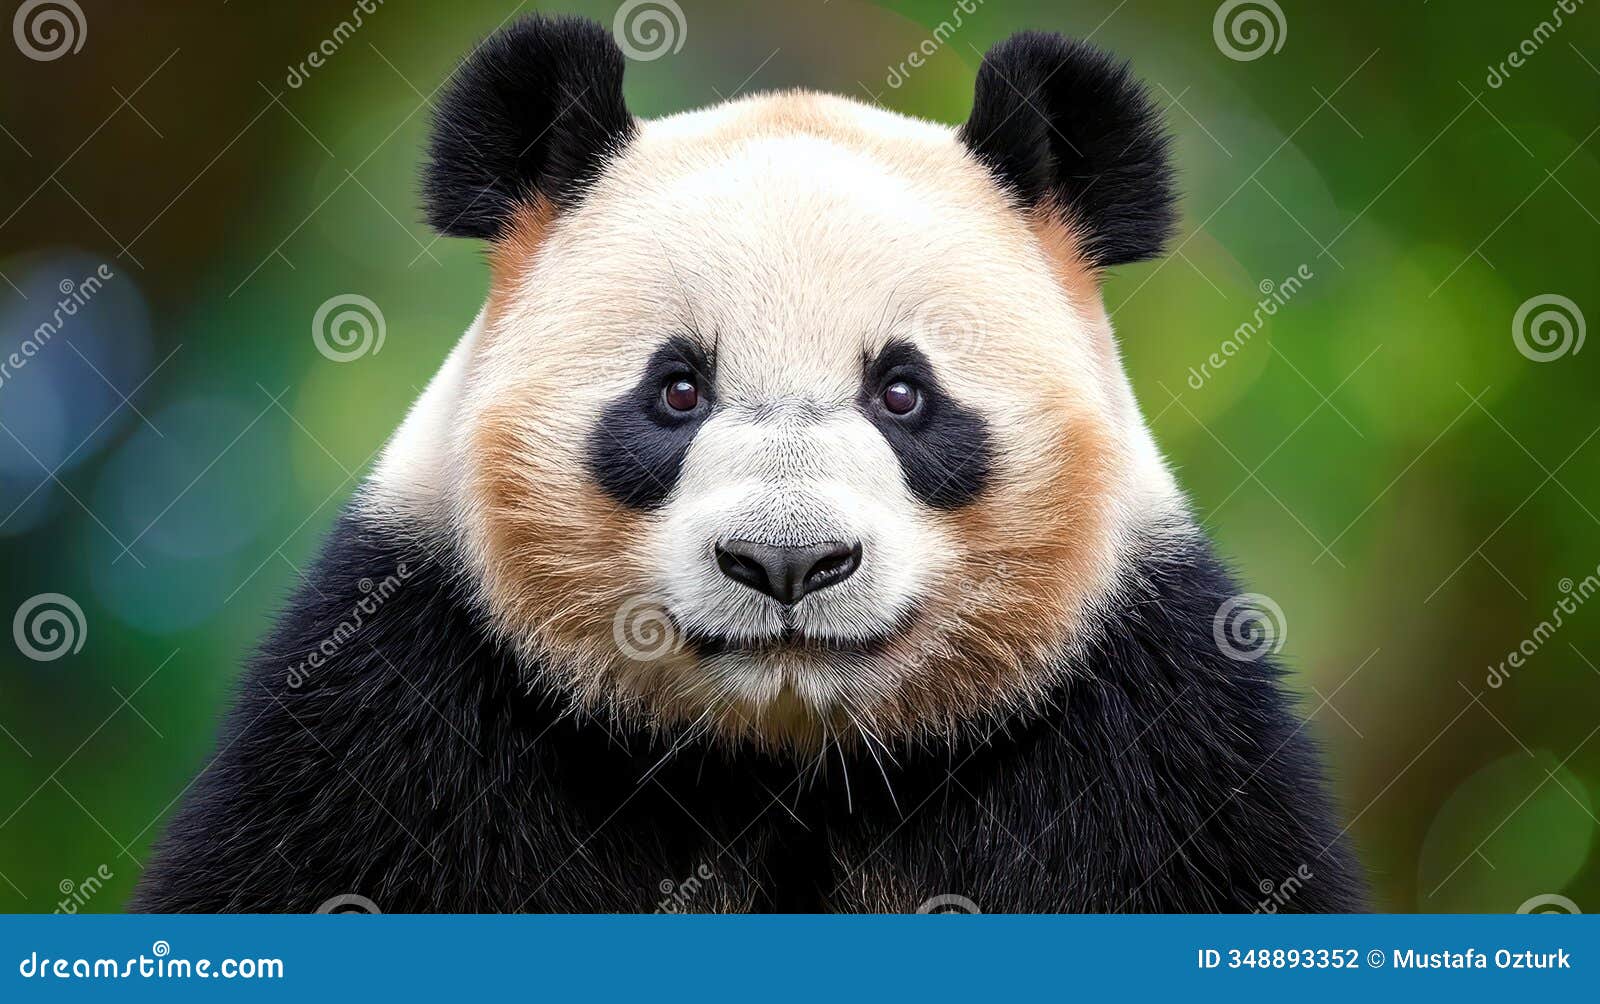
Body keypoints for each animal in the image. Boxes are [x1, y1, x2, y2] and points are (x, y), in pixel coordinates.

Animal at [132, 15, 1366, 913]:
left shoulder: (1144, 743)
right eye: (677, 390)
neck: (780, 755)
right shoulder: (403, 712)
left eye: (904, 393)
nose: (786, 564)